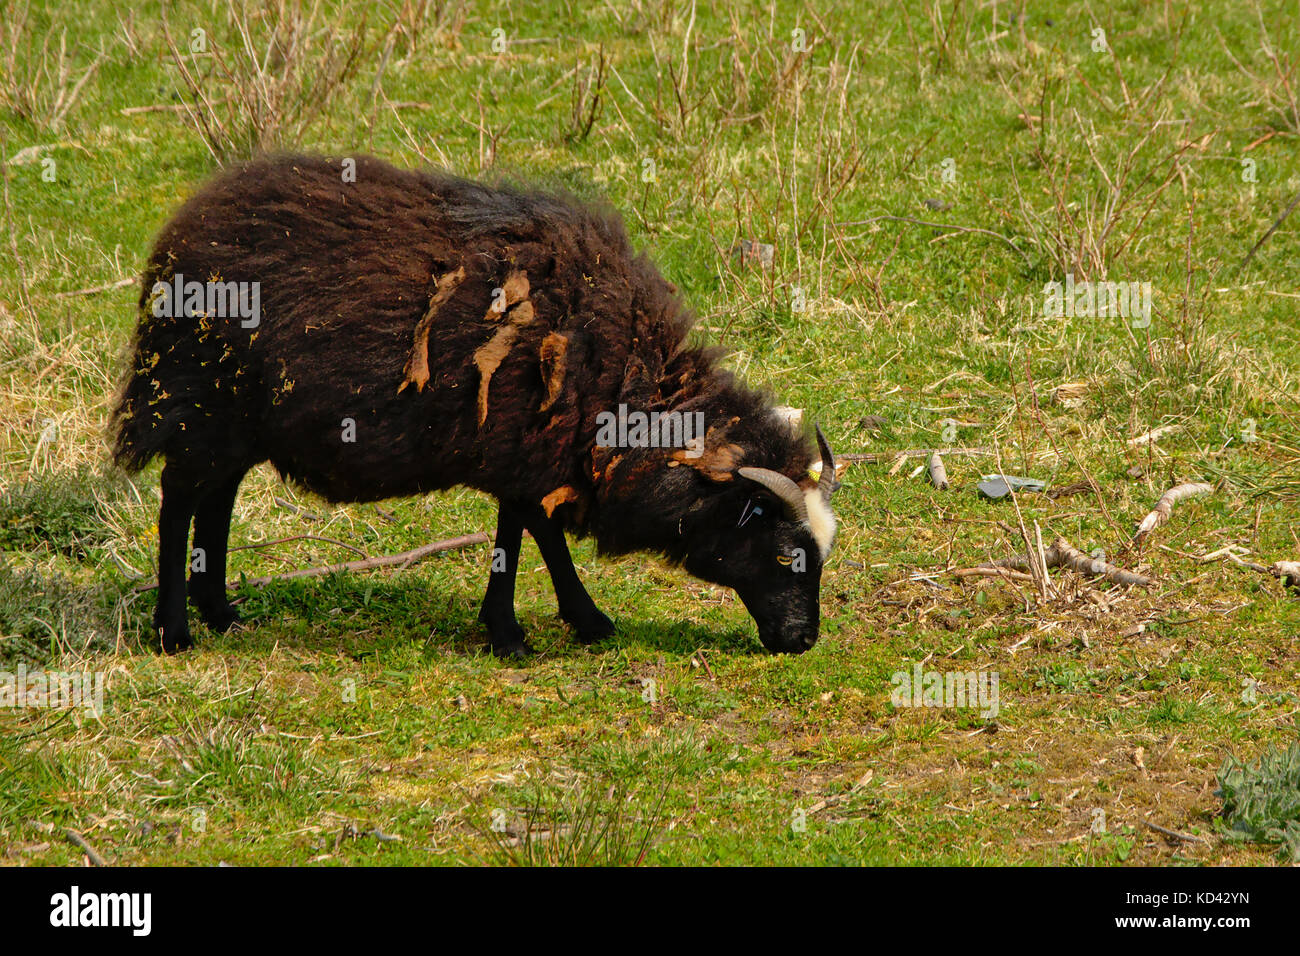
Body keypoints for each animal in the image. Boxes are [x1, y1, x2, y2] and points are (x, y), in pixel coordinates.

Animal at [111, 154, 839, 658]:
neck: (631, 389)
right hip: (201, 402)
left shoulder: (532, 456)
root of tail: (176, 240)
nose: (802, 641)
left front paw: (560, 621)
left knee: (217, 501)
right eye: (784, 555)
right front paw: (527, 631)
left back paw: (222, 613)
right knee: (179, 504)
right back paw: (175, 630)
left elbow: (526, 531)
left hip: (236, 424)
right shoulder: (520, 451)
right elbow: (526, 536)